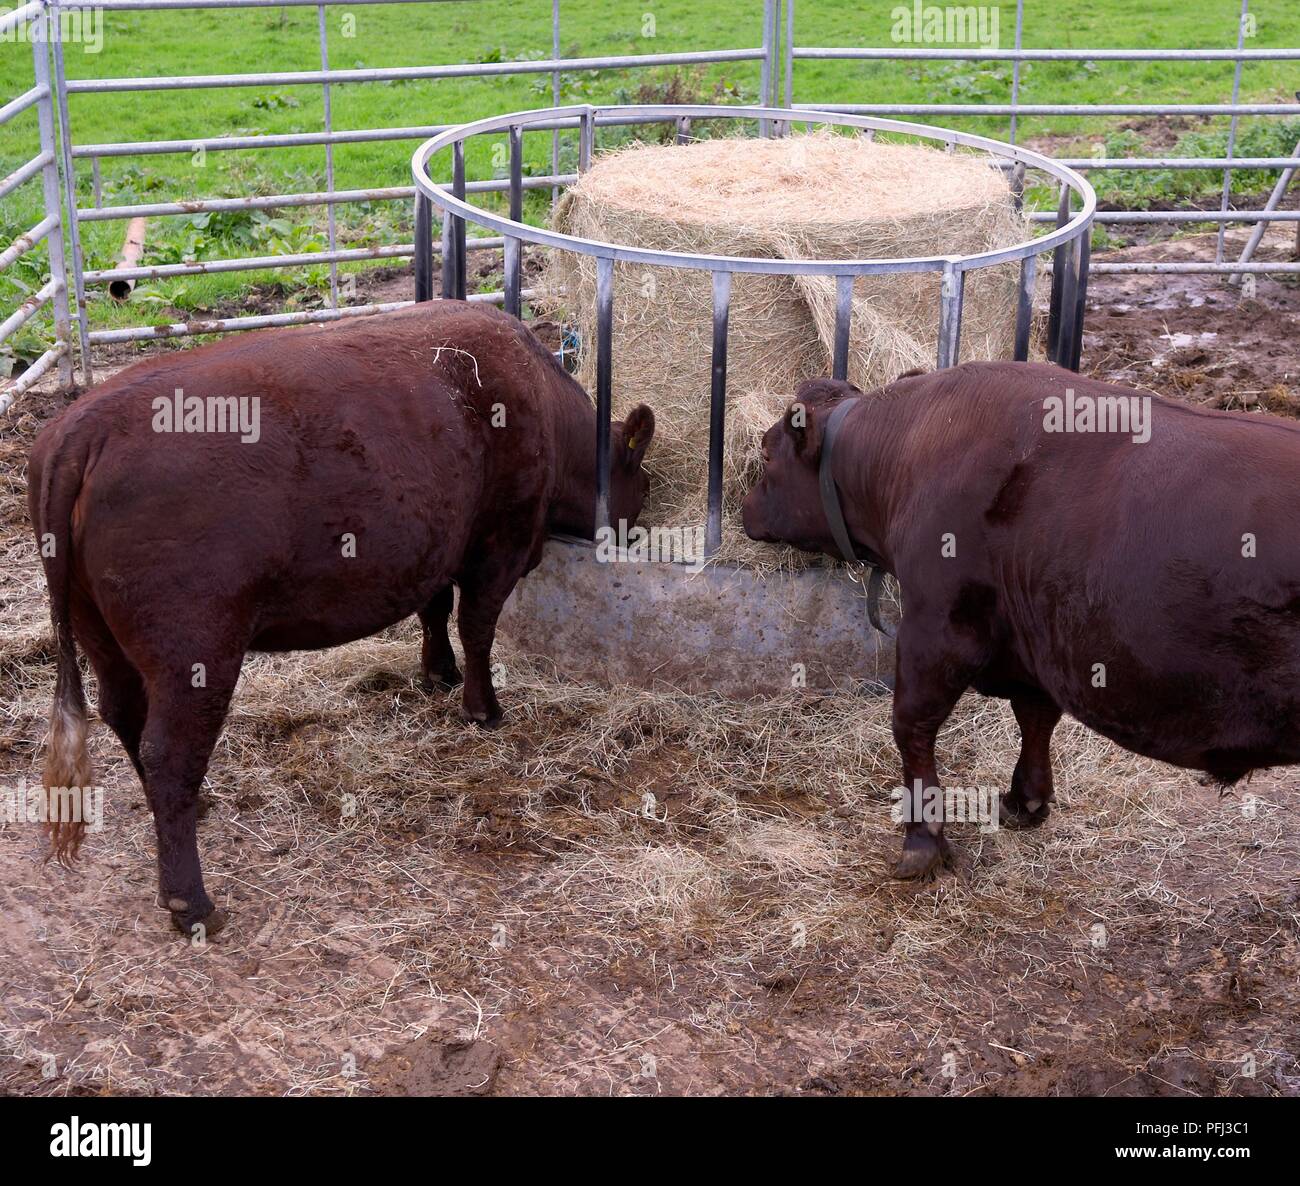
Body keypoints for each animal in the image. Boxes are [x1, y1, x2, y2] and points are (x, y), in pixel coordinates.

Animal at [29, 301, 655, 935]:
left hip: (100, 633)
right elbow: (477, 627)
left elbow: (434, 609)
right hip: (196, 649)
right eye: (645, 482)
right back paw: (191, 901)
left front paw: (438, 673)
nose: (636, 533)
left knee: (124, 715)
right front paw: (483, 708)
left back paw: (196, 808)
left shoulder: (433, 544)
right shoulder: (500, 540)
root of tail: (81, 428)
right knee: (168, 751)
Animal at [743, 361, 1300, 878]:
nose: (745, 510)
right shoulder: (1037, 637)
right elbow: (1035, 715)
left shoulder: (938, 625)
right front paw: (1025, 801)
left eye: (767, 454)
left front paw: (922, 840)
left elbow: (911, 725)